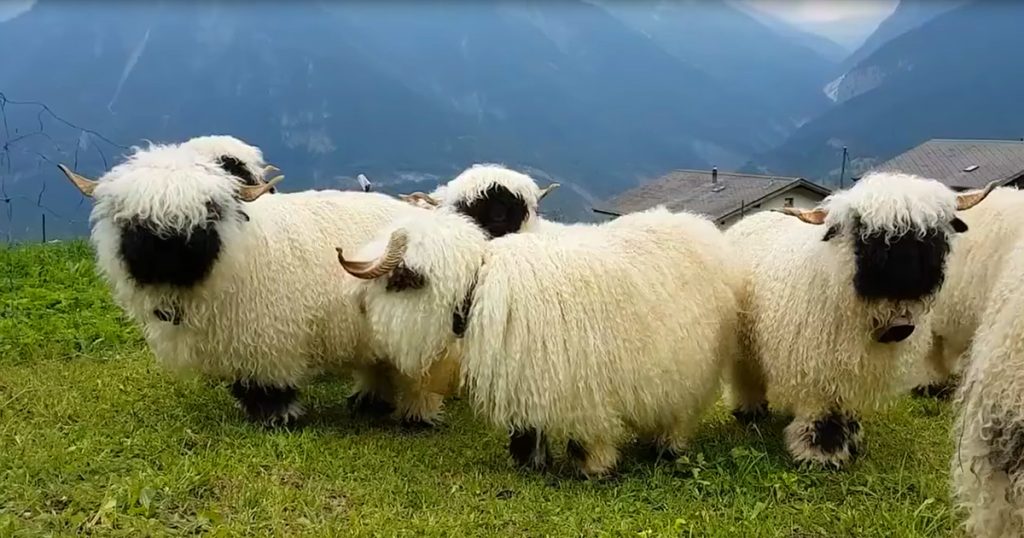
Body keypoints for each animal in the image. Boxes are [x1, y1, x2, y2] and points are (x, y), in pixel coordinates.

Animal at [56, 140, 440, 426]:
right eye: (131, 216)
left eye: (210, 209)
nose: (167, 250)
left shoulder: (269, 337)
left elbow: (269, 385)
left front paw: (275, 417)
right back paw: (369, 402)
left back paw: (414, 415)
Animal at [338, 205, 741, 477]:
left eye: (392, 281)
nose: (358, 305)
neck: (478, 287)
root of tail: (696, 224)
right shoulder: (525, 375)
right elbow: (528, 425)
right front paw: (529, 461)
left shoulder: (582, 383)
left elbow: (588, 432)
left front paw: (592, 467)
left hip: (690, 363)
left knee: (679, 411)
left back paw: (667, 447)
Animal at [725, 171, 998, 469]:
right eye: (867, 240)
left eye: (931, 239)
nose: (901, 328)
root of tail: (753, 218)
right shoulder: (818, 367)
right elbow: (822, 410)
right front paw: (822, 453)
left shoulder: (856, 367)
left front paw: (851, 436)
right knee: (747, 375)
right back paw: (750, 410)